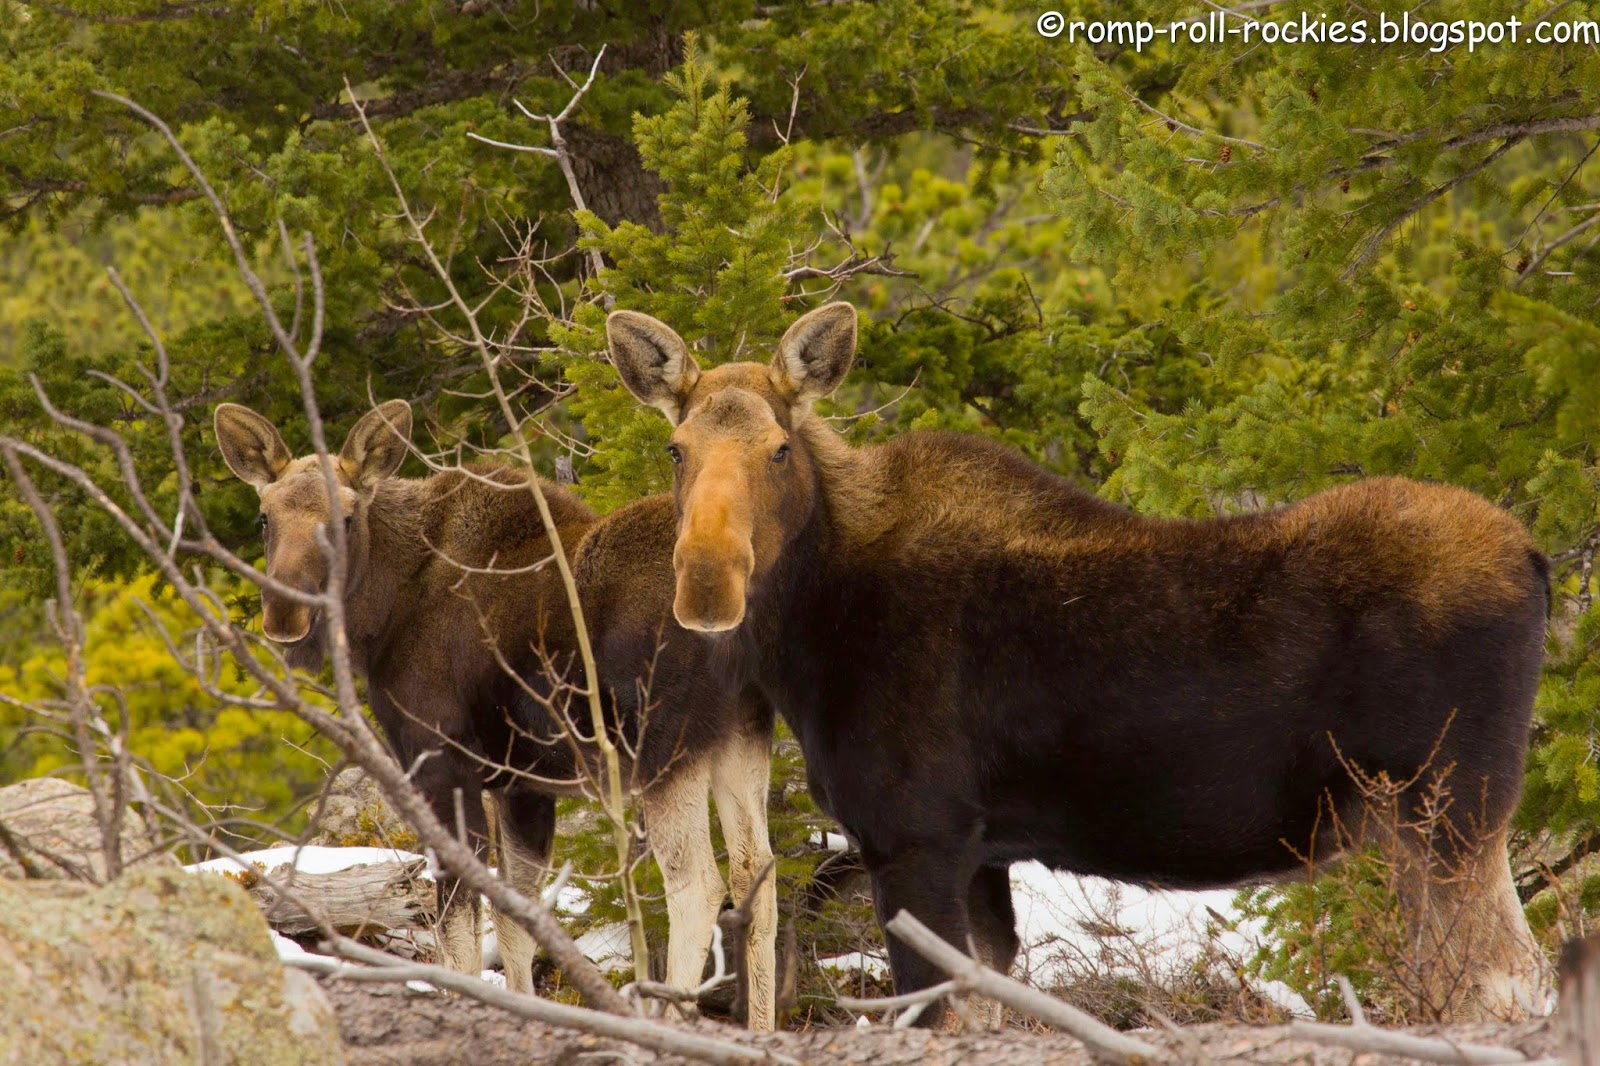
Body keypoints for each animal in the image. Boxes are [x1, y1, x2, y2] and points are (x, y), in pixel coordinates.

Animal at [213, 400, 778, 1028]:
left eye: (347, 519)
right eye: (265, 518)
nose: (287, 613)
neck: (382, 617)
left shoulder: (441, 763)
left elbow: (457, 926)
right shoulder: (523, 784)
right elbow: (516, 922)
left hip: (664, 746)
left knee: (697, 883)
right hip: (740, 736)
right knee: (756, 871)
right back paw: (761, 1027)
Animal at [606, 300, 1551, 1025]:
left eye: (778, 448)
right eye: (676, 450)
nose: (707, 580)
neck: (811, 629)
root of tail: (1535, 559)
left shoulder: (914, 834)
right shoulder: (980, 851)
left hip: (1447, 808)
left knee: (1502, 982)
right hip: (1437, 822)